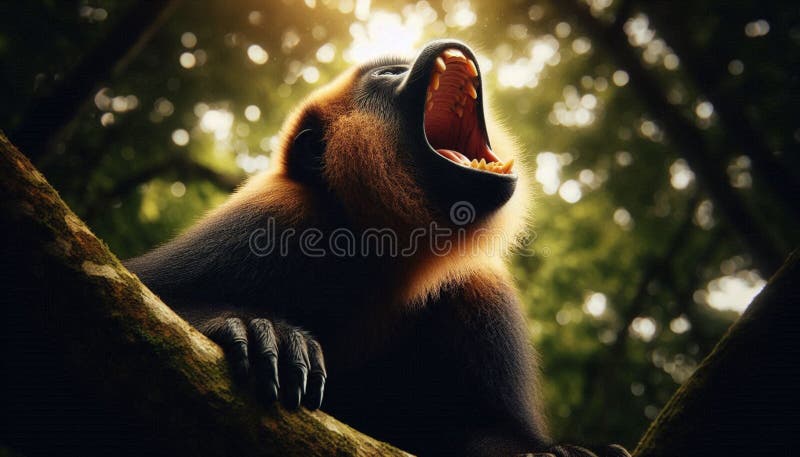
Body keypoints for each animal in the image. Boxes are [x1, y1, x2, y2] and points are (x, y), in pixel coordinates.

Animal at [125, 40, 629, 457]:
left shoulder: (478, 284)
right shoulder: (277, 218)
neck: (384, 252)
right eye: (390, 74)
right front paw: (252, 329)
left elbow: (489, 432)